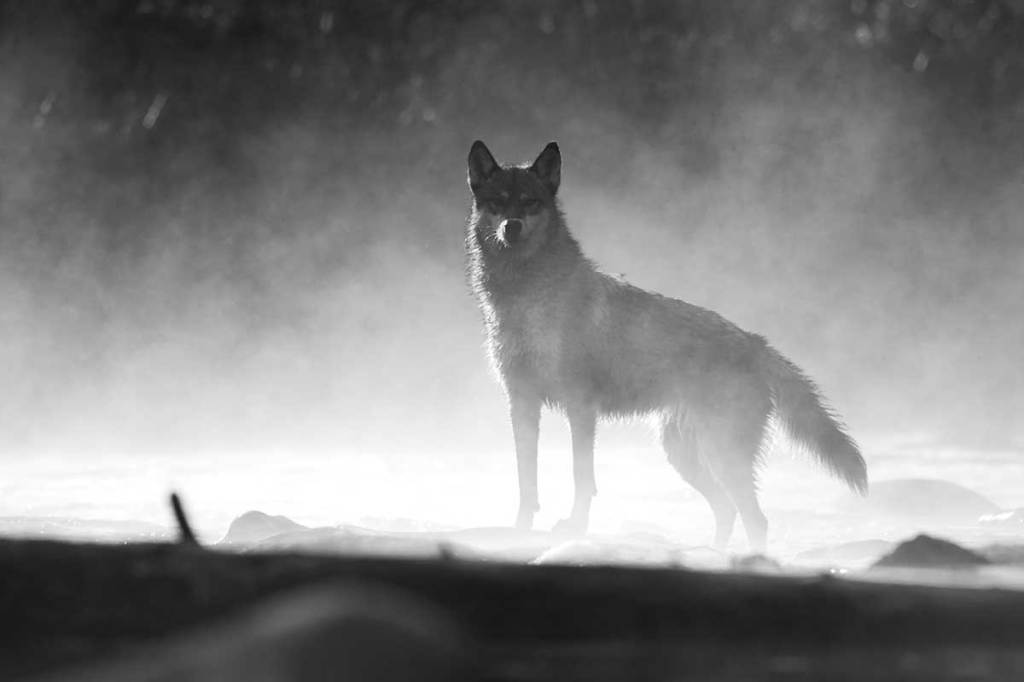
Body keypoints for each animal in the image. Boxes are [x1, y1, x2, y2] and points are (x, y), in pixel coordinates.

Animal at [465, 140, 867, 551]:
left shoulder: (581, 407)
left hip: (719, 455)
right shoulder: (522, 404)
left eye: (529, 202)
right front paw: (520, 531)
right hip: (684, 456)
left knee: (757, 520)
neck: (525, 295)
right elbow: (526, 480)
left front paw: (575, 528)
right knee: (728, 510)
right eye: (498, 203)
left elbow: (581, 478)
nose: (511, 227)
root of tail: (756, 342)